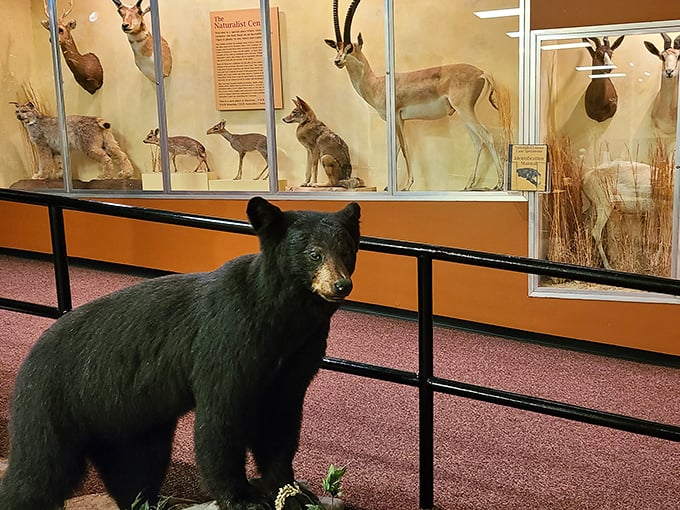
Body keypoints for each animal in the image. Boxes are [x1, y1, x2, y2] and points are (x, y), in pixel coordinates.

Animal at [0, 196, 361, 510]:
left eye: (347, 249)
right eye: (314, 254)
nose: (341, 285)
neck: (284, 320)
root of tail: (31, 357)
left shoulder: (299, 356)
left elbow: (280, 419)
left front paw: (292, 490)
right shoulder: (230, 341)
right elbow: (221, 418)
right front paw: (241, 497)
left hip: (129, 421)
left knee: (135, 467)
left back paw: (148, 501)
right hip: (53, 406)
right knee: (37, 472)